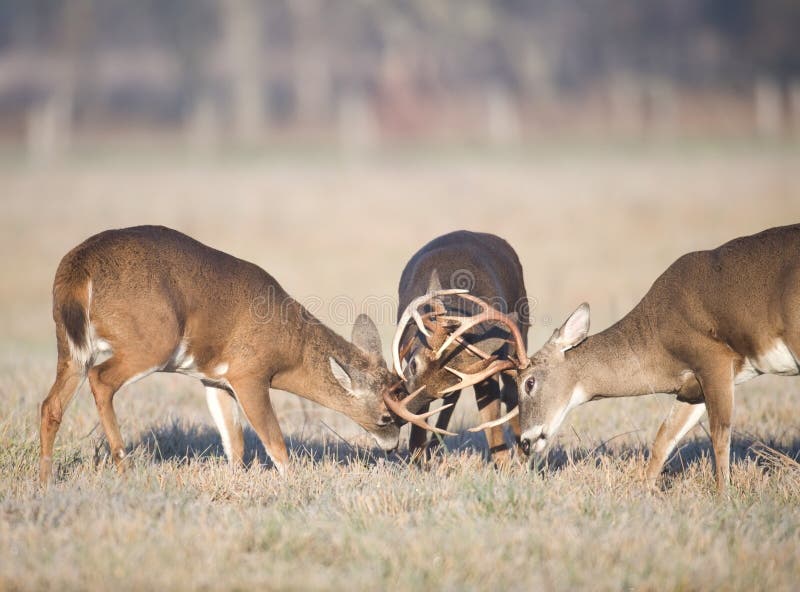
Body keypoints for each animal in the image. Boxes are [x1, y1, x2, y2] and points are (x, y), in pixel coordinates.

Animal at [39, 225, 430, 484]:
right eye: (387, 416)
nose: (391, 448)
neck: (291, 346)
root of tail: (79, 267)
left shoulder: (215, 379)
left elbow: (235, 443)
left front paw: (236, 483)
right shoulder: (250, 373)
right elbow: (274, 442)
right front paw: (293, 485)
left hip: (70, 345)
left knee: (51, 403)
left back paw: (46, 480)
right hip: (151, 340)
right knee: (101, 380)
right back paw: (123, 467)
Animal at [390, 230, 530, 466]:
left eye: (440, 391)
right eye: (414, 365)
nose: (397, 415)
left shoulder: (487, 372)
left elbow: (494, 428)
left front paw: (506, 466)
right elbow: (418, 433)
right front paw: (420, 461)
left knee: (511, 394)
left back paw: (523, 453)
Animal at [452, 224, 800, 493]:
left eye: (529, 383)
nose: (525, 441)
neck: (659, 338)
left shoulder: (712, 358)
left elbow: (720, 433)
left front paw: (722, 495)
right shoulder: (692, 387)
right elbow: (663, 438)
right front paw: (644, 491)